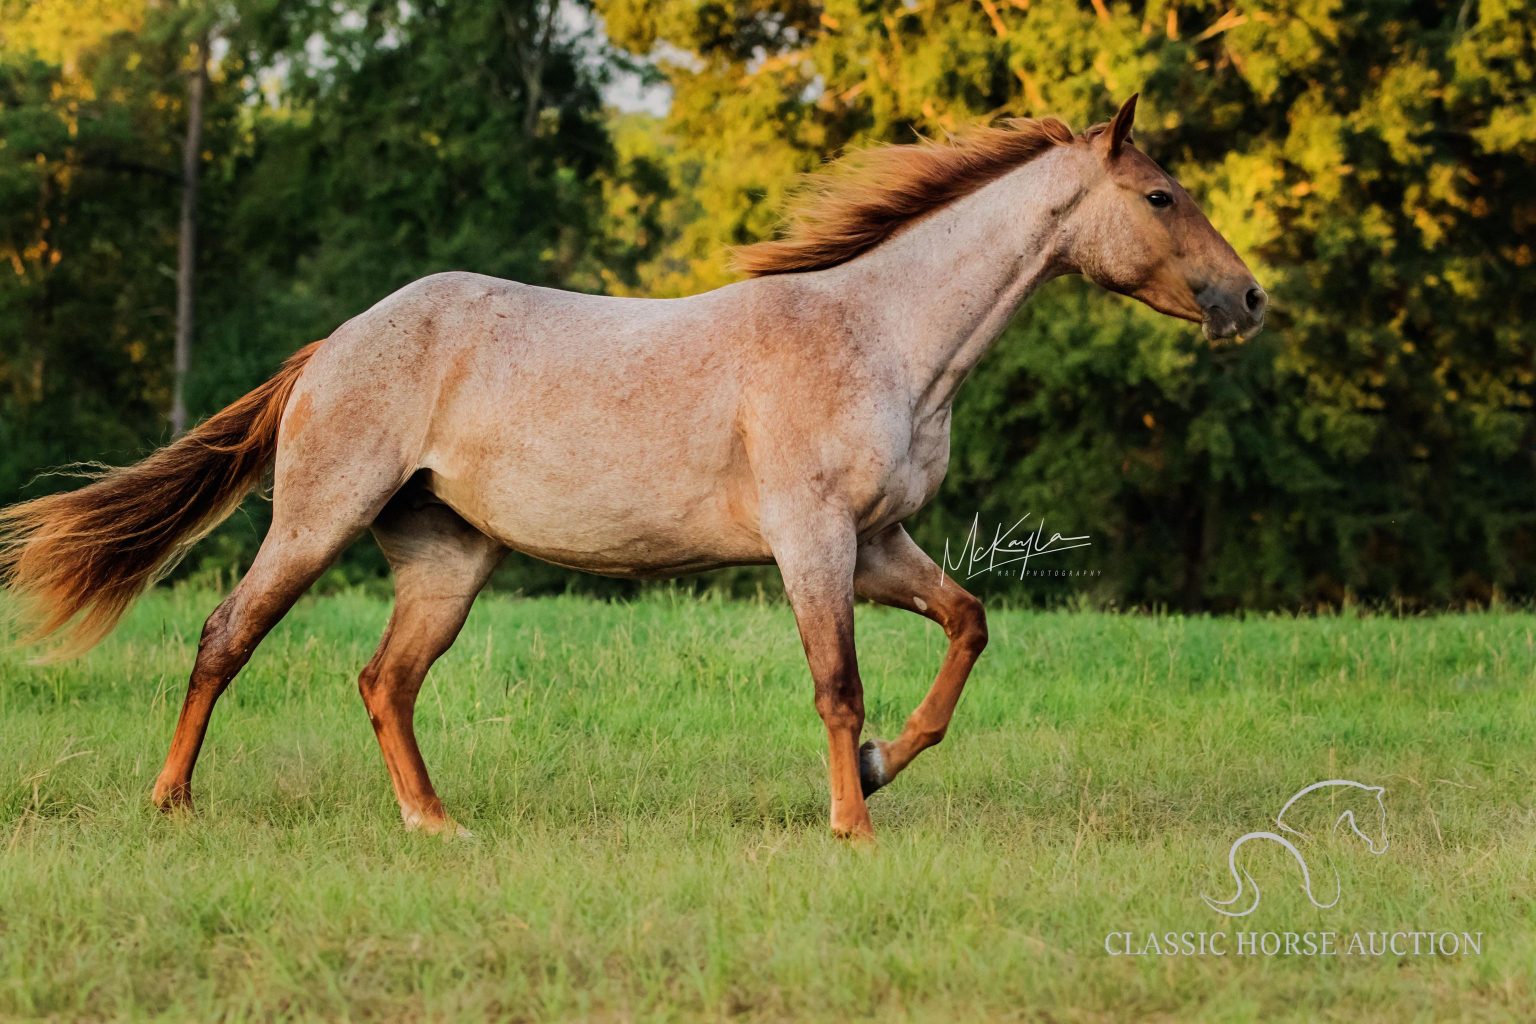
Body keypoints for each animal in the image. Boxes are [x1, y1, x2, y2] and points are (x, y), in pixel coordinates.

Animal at [0, 96, 1265, 840]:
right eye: (1161, 195)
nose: (1249, 299)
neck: (881, 336)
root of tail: (334, 345)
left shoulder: (879, 542)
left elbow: (967, 624)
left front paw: (879, 768)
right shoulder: (813, 542)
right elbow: (838, 681)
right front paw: (852, 820)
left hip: (448, 561)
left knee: (385, 680)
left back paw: (436, 824)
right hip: (317, 521)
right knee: (228, 635)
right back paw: (172, 802)